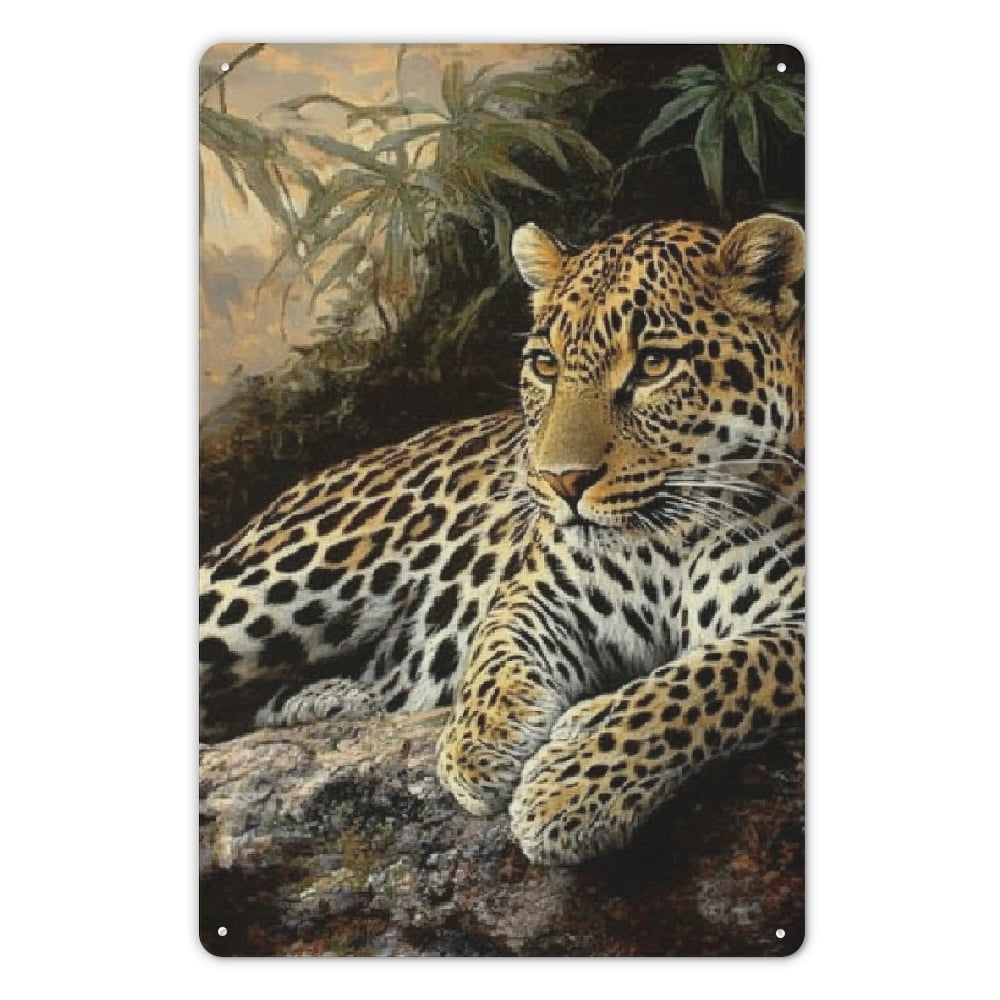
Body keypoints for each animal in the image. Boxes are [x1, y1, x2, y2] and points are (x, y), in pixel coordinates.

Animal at [199, 212, 805, 865]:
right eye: (546, 365)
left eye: (652, 366)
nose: (561, 479)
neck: (673, 541)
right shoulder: (542, 590)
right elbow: (499, 645)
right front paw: (482, 742)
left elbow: (715, 676)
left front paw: (572, 784)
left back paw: (333, 698)